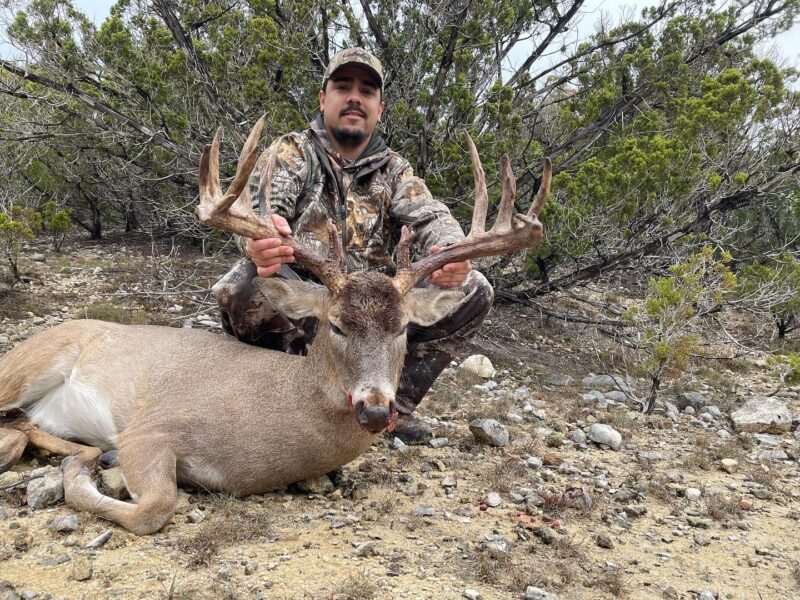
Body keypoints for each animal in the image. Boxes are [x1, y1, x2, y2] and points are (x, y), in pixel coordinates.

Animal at [0, 117, 551, 535]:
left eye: (402, 329)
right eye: (337, 325)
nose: (376, 409)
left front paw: (85, 463)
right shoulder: (149, 427)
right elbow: (156, 508)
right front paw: (79, 475)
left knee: (22, 429)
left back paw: (76, 451)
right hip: (30, 364)